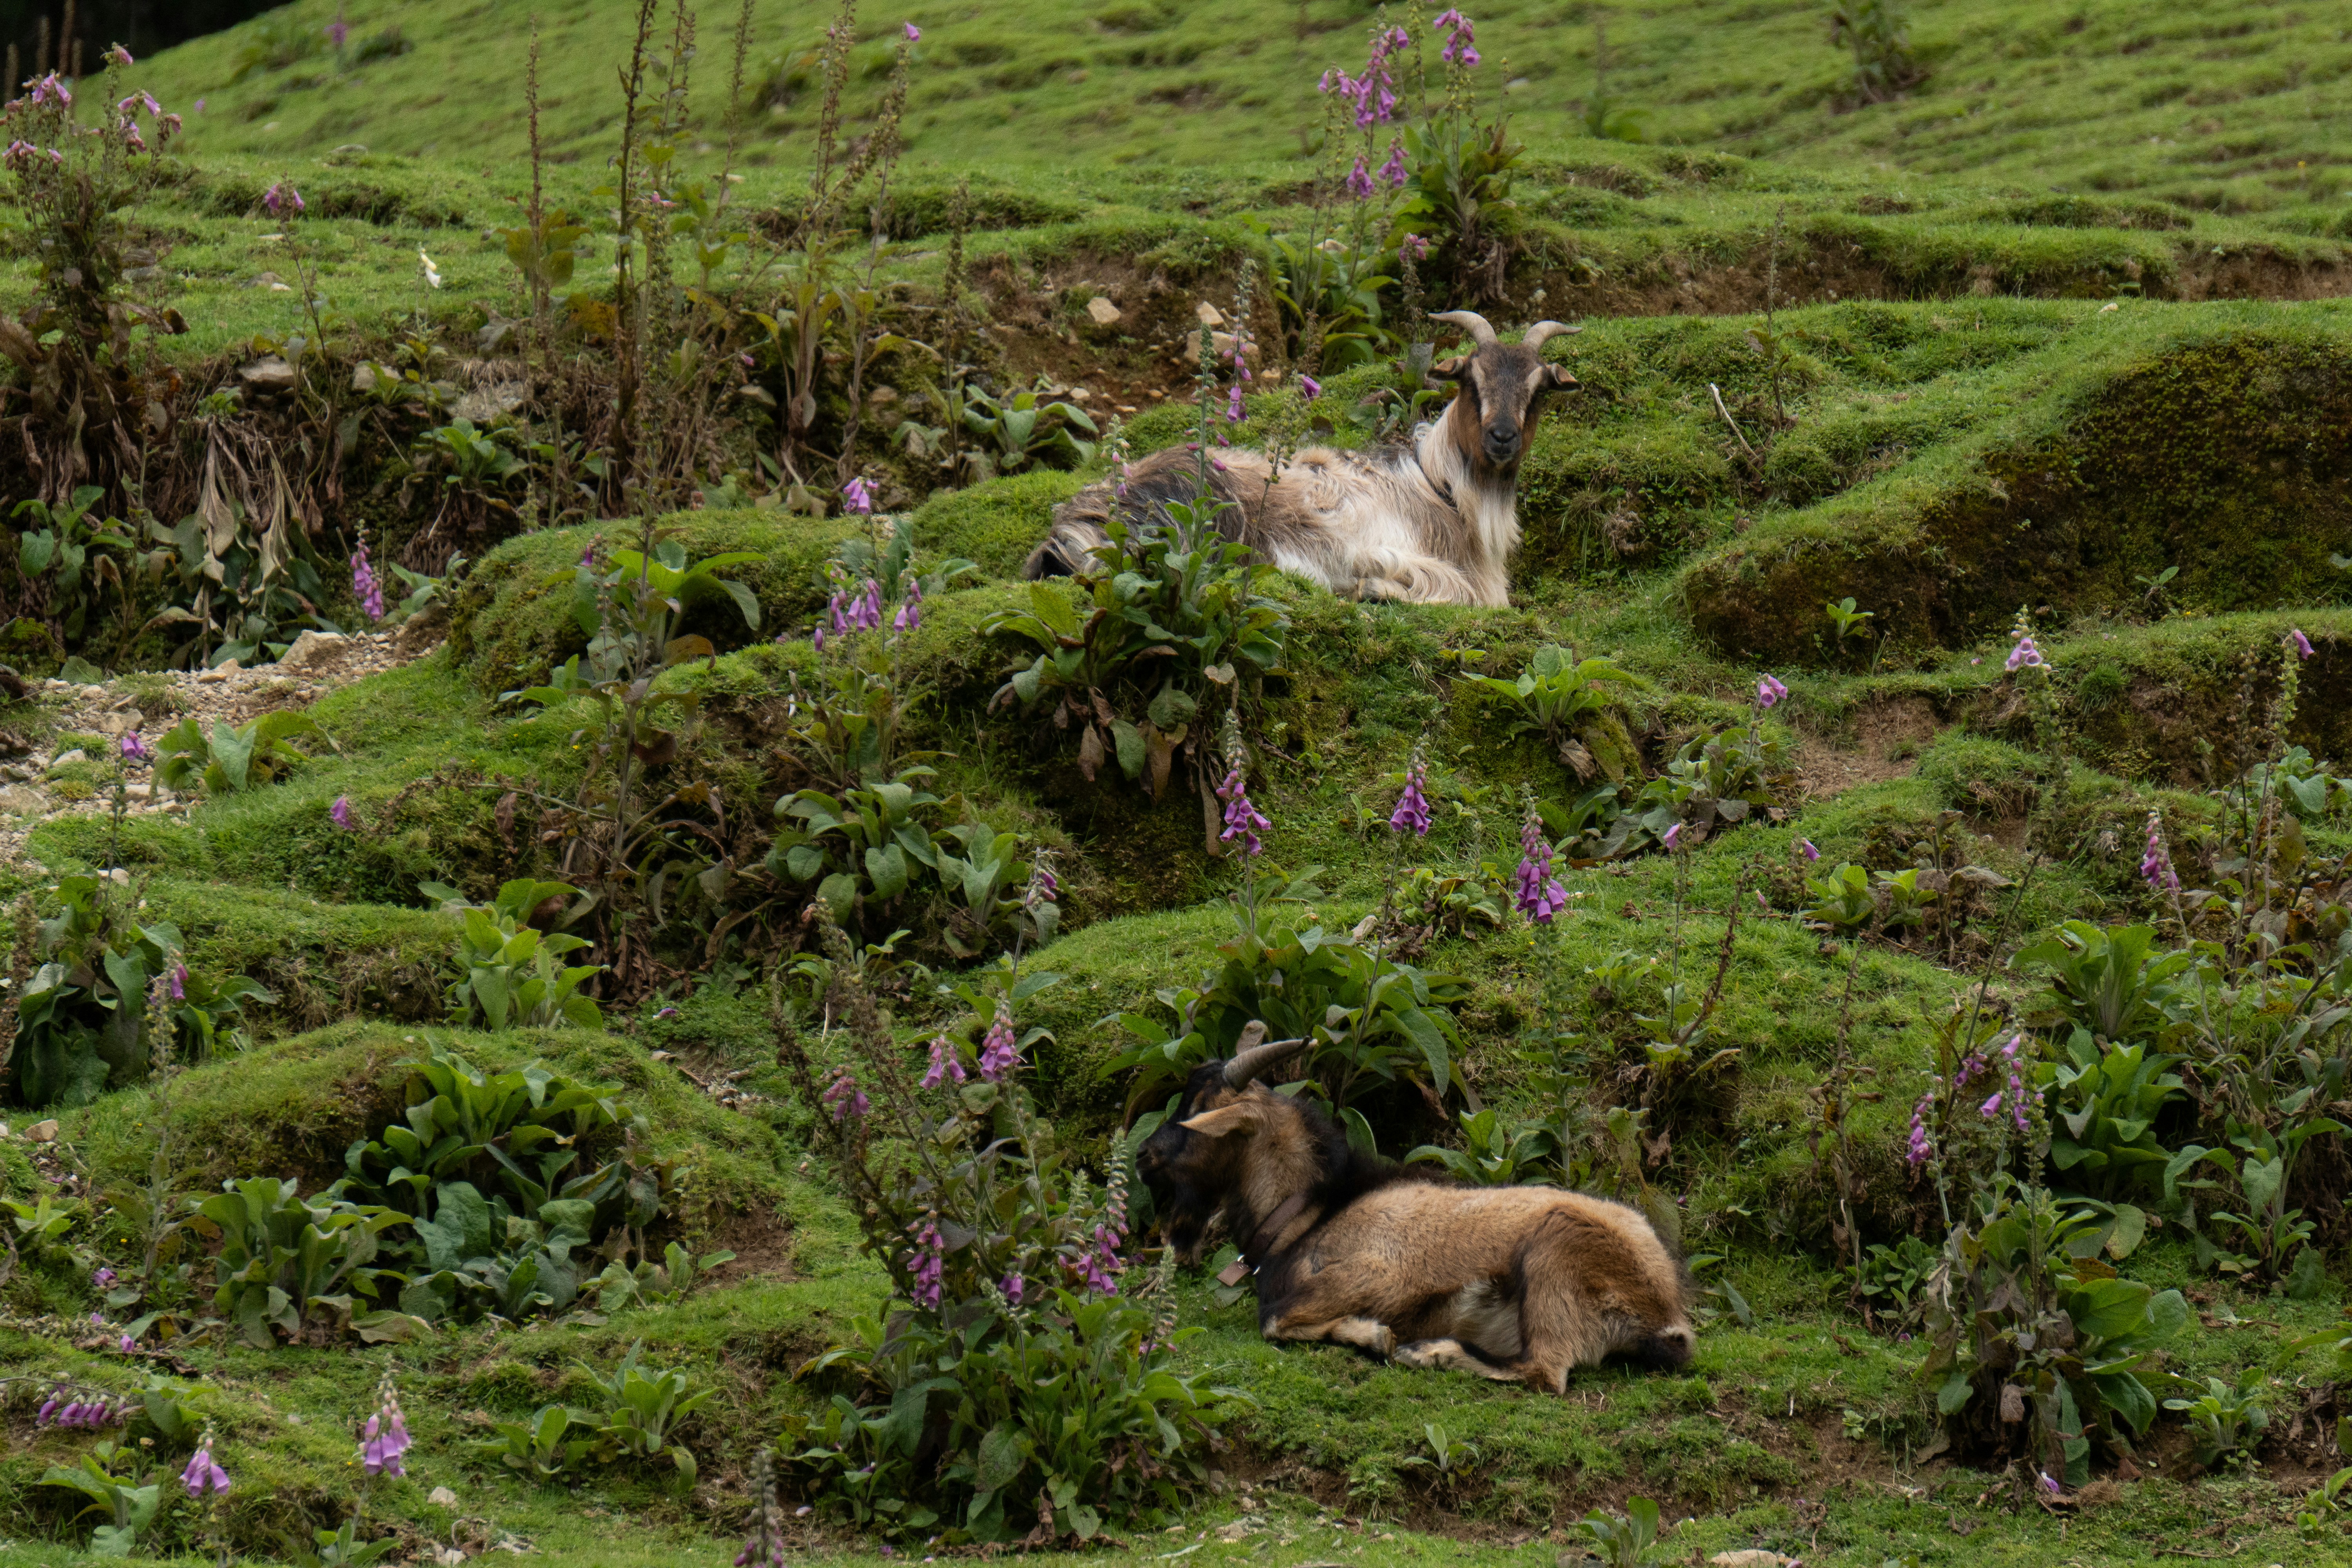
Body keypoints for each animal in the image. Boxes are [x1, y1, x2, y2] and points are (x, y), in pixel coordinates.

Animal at [1023, 312, 1579, 608]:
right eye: (1470, 380)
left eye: (1539, 390)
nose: (1502, 438)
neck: (1442, 488)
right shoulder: (1380, 546)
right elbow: (1458, 591)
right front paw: (1373, 588)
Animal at [1135, 1026, 1695, 1392]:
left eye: (1198, 1110)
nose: (1142, 1156)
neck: (1307, 1218)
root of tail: (1666, 1307)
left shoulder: (1373, 1275)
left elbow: (1272, 1319)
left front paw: (1376, 1336)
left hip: (1554, 1254)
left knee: (1546, 1372)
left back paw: (1430, 1354)